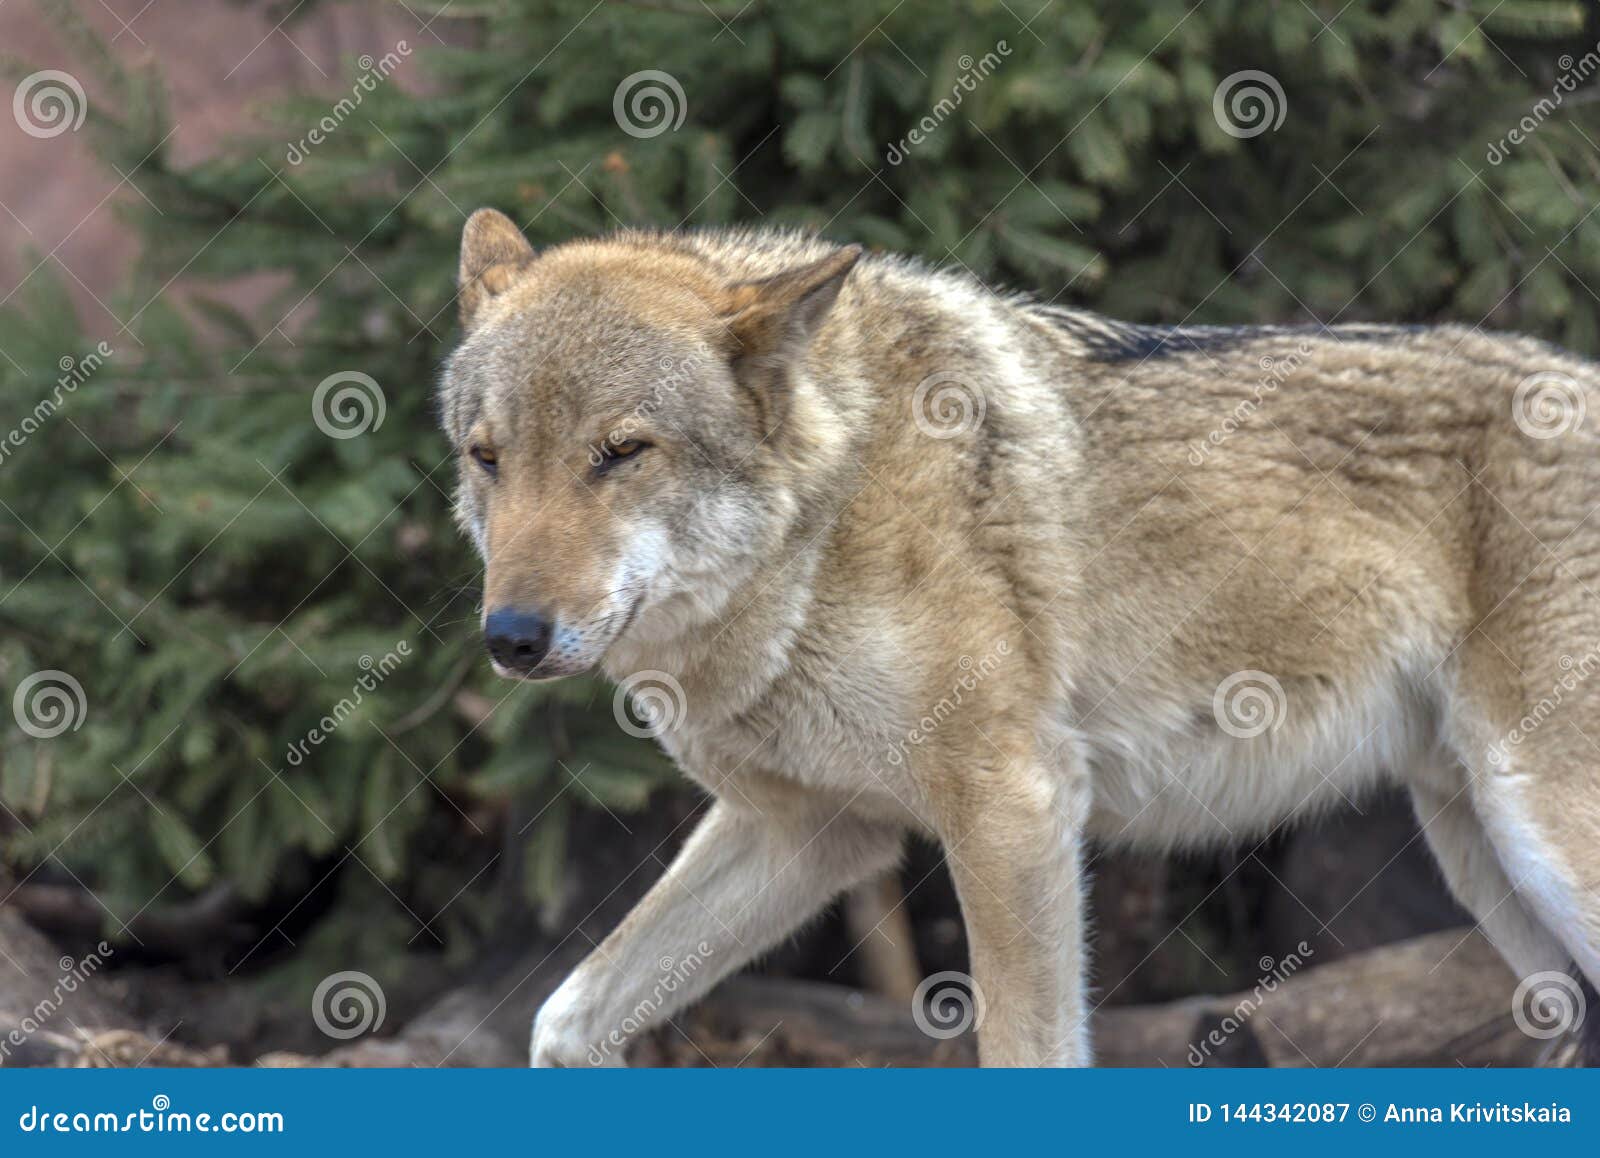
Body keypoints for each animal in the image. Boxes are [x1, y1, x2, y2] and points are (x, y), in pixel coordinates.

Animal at [439, 207, 1600, 1067]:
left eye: (621, 452)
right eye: (488, 457)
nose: (512, 637)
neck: (828, 517)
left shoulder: (1014, 808)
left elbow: (1028, 1052)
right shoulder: (812, 833)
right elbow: (563, 1019)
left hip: (1537, 832)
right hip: (1483, 855)